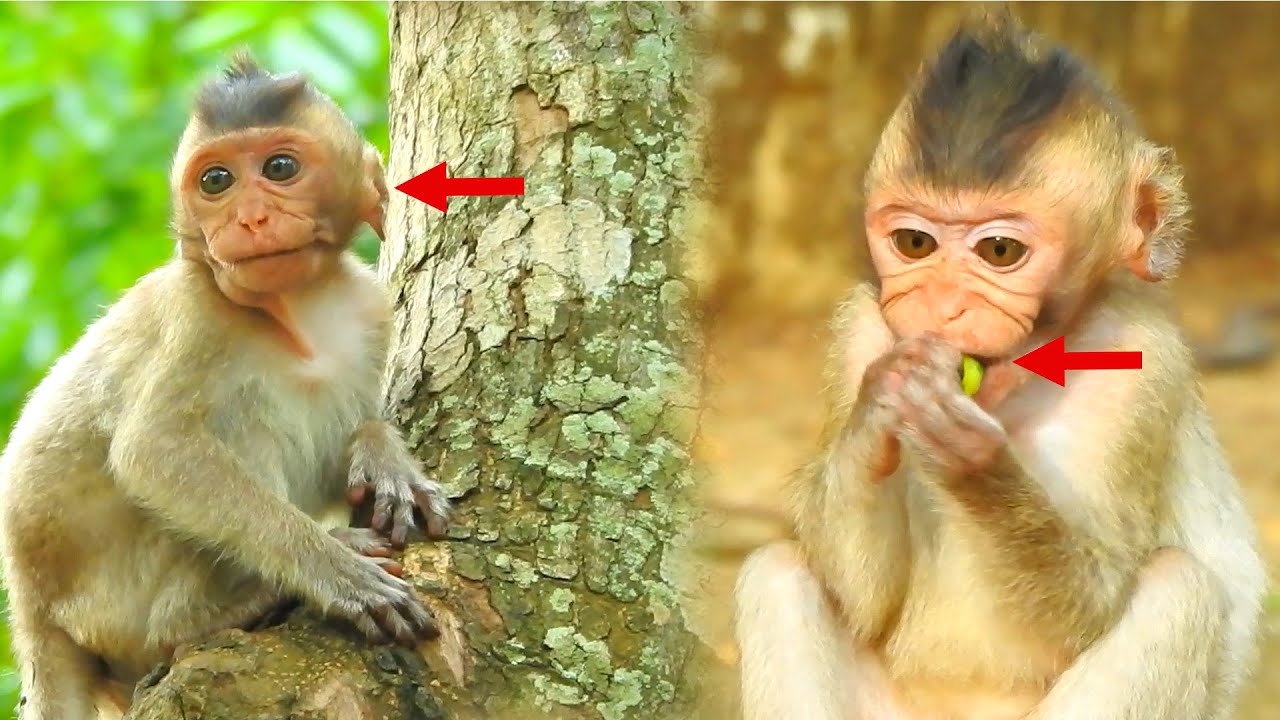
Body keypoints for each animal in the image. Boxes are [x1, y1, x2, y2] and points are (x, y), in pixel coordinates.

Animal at [0, 52, 451, 719]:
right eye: (215, 181)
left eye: (281, 168)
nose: (251, 218)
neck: (293, 308)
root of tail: (33, 609)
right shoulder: (194, 314)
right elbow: (155, 451)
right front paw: (336, 572)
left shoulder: (372, 309)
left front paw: (386, 460)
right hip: (112, 606)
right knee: (237, 426)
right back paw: (215, 611)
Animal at [731, 11, 1266, 720]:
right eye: (914, 243)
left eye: (1000, 252)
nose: (942, 305)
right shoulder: (858, 330)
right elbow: (865, 601)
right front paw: (881, 404)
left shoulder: (1144, 361)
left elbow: (1096, 604)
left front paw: (973, 464)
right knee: (779, 572)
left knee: (1178, 589)